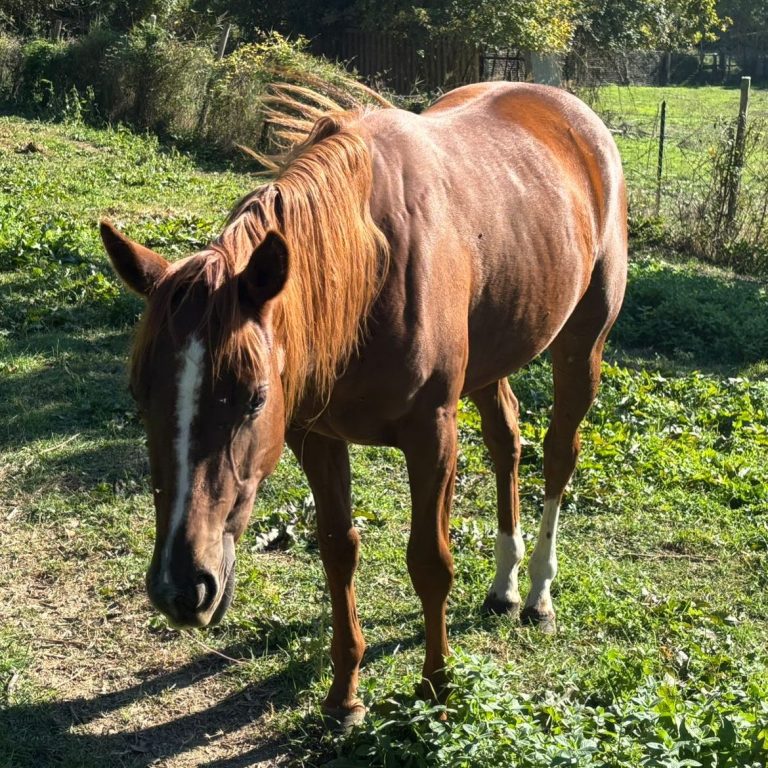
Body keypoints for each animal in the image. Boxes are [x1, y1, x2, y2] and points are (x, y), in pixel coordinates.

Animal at [101, 81, 627, 729]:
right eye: (139, 394)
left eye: (254, 399)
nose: (181, 589)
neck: (374, 267)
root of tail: (574, 114)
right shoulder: (317, 438)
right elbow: (337, 551)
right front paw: (343, 696)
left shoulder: (431, 434)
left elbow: (429, 562)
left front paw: (437, 688)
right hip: (494, 354)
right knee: (507, 441)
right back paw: (504, 585)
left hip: (581, 346)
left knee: (557, 455)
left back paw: (537, 595)